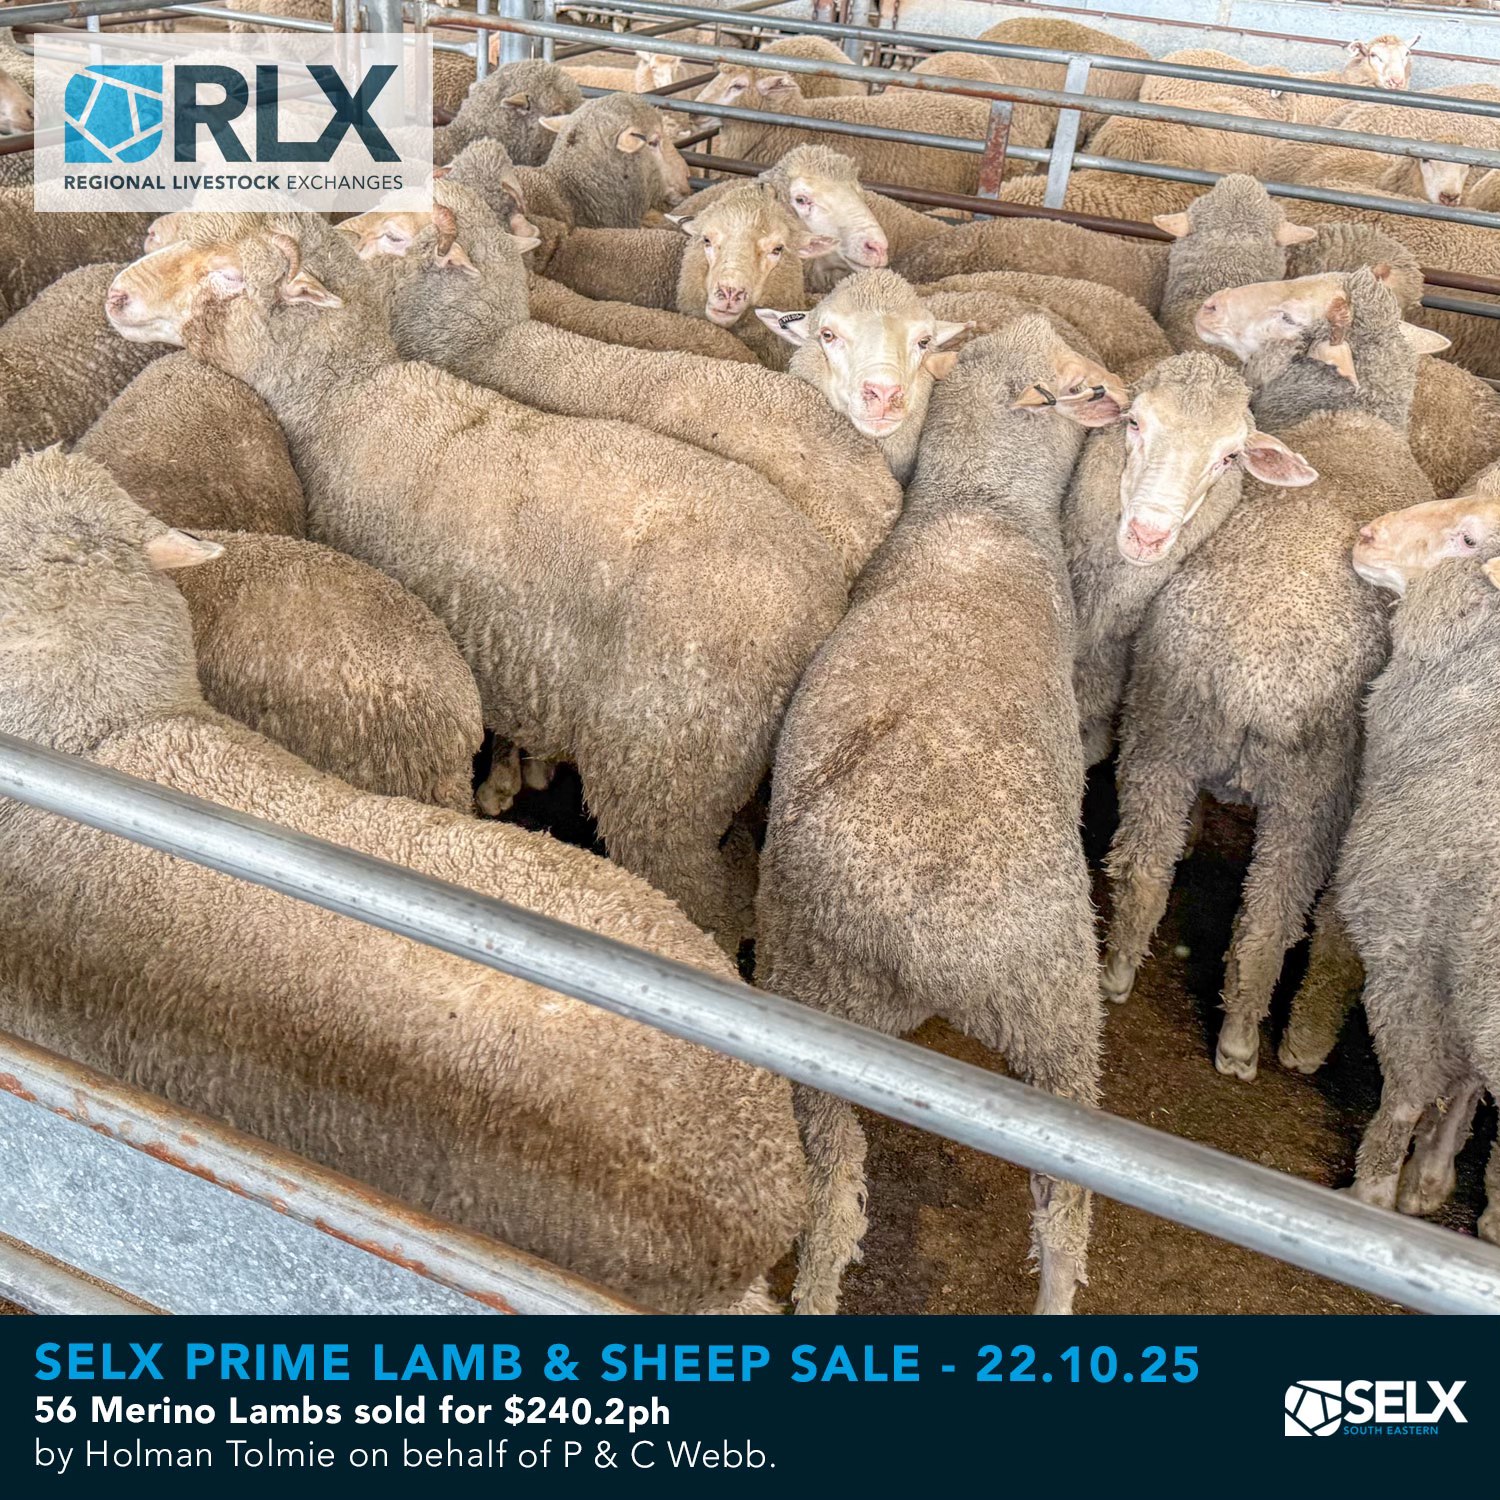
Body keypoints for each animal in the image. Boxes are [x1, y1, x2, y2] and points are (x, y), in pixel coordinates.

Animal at [105, 215, 849, 948]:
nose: (117, 294)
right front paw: (518, 773)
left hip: (668, 773)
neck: (342, 399)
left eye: (231, 274)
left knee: (708, 897)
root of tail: (820, 605)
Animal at [756, 315, 1125, 1316]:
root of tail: (922, 944)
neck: (983, 505)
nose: (1120, 391)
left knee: (837, 1202)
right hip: (1051, 1015)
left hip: (818, 1008)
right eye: (1080, 379)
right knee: (1058, 1215)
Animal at [1104, 268, 1447, 1081]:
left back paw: (1120, 973)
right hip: (1311, 797)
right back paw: (1239, 1044)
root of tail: (1245, 677)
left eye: (1292, 312)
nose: (1210, 306)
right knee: (1268, 920)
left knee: (1144, 868)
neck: (1349, 415)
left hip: (1162, 735)